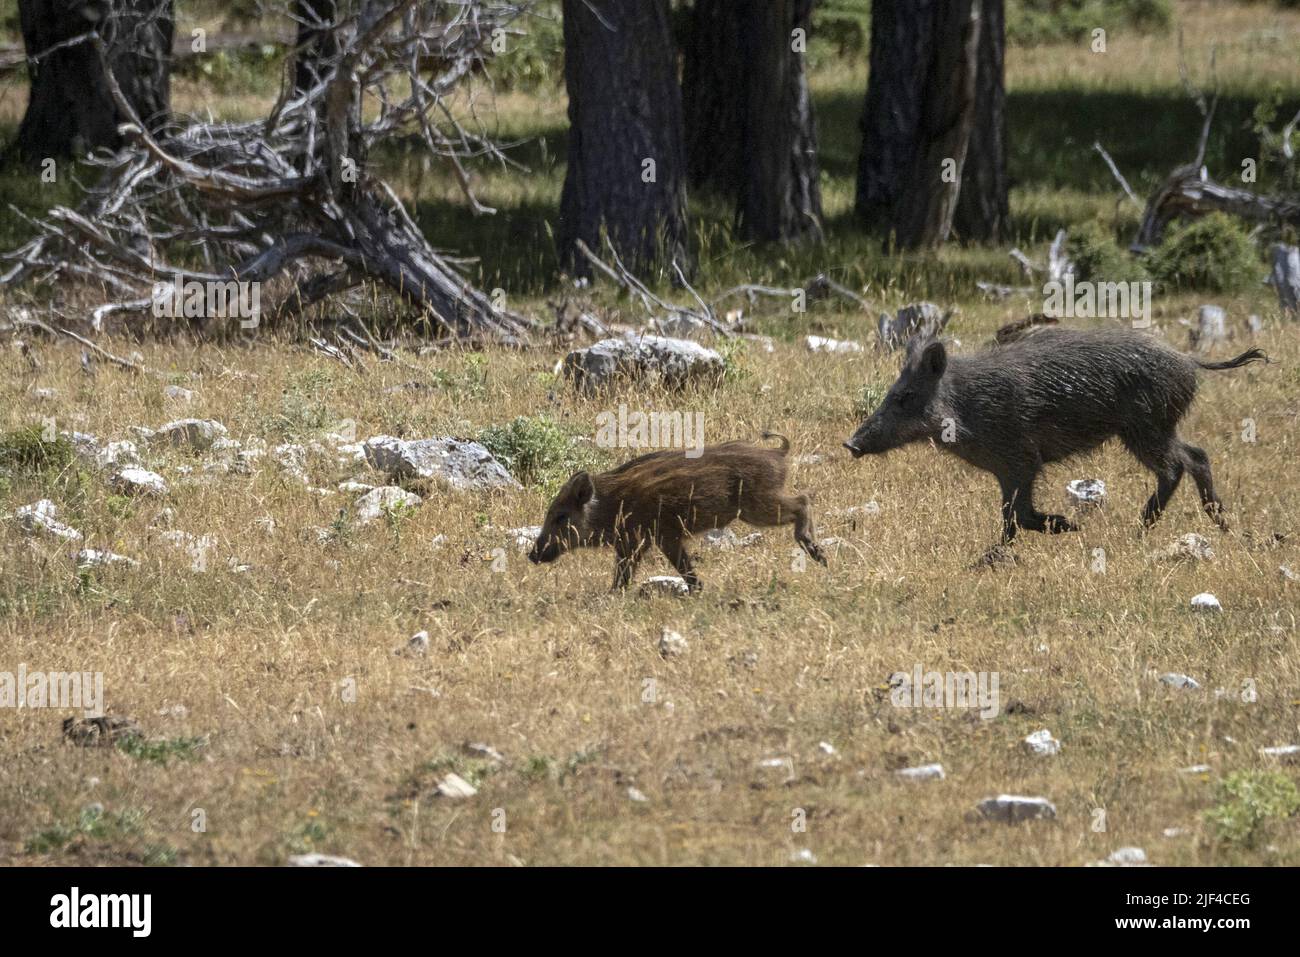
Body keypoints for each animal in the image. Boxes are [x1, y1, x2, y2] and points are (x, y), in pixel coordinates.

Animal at [528, 433, 826, 592]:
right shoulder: (647, 541)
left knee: (802, 501)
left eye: (561, 516)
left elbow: (637, 573)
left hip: (758, 506)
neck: (611, 505)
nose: (532, 555)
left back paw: (817, 553)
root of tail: (778, 454)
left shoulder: (653, 538)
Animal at [843, 328, 1266, 544]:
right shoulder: (1006, 469)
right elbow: (1011, 515)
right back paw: (1217, 525)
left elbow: (1016, 514)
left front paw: (1068, 526)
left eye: (906, 396)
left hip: (1145, 428)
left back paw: (1139, 529)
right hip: (1155, 428)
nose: (850, 444)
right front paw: (998, 556)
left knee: (1178, 464)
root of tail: (1189, 360)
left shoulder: (1022, 459)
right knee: (1197, 455)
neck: (965, 405)